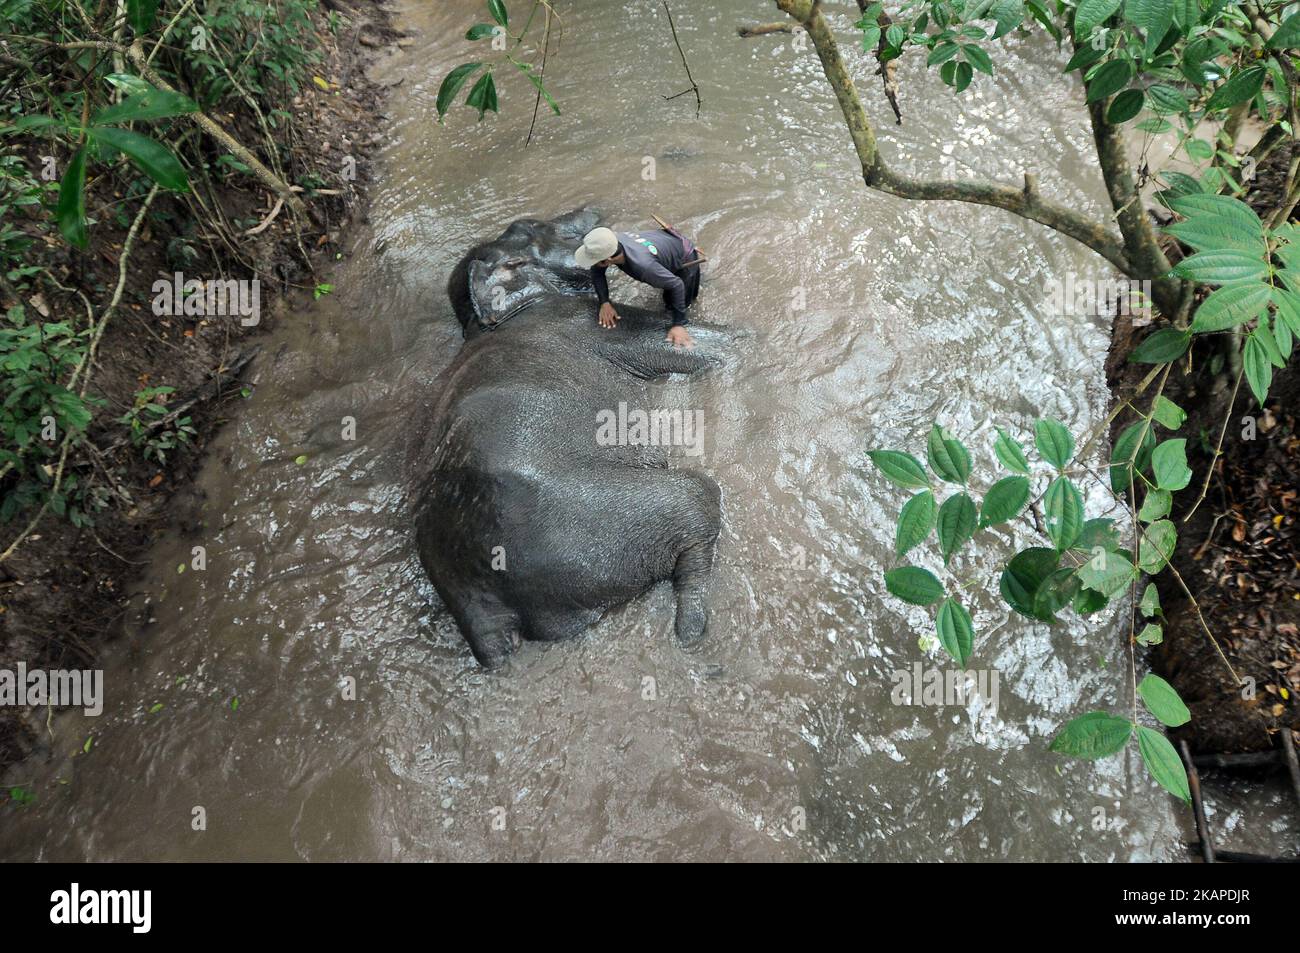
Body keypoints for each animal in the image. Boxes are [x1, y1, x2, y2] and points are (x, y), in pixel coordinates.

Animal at [410, 208, 725, 668]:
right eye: (530, 228)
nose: (590, 211)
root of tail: (481, 613)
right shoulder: (584, 322)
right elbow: (707, 346)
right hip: (626, 515)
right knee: (697, 508)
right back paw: (692, 628)